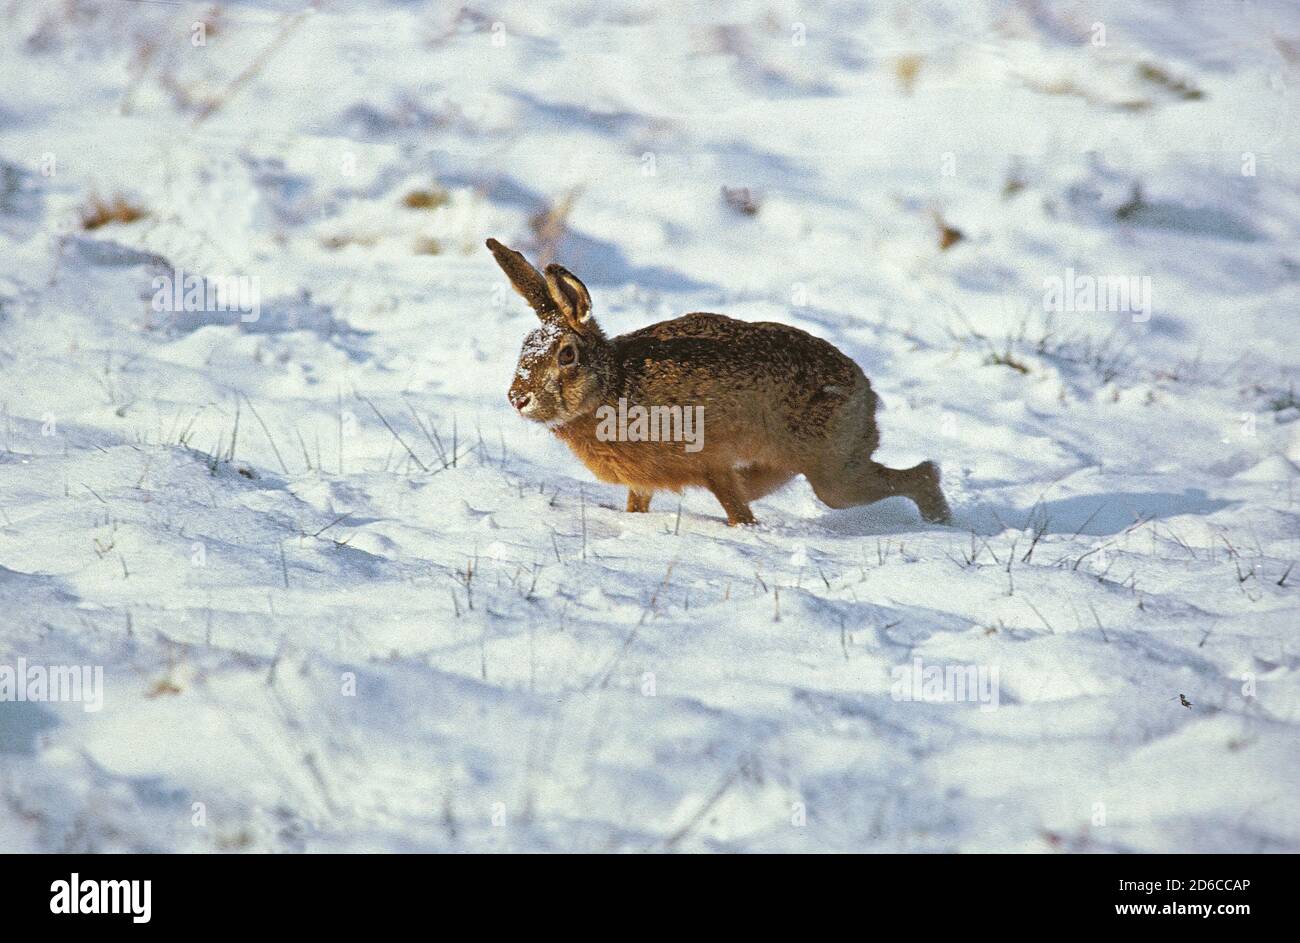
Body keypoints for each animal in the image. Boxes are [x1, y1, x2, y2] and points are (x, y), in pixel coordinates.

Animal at [489, 238, 951, 527]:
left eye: (566, 355)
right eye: (525, 346)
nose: (517, 398)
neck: (612, 386)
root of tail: (865, 392)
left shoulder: (712, 462)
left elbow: (734, 509)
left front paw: (743, 529)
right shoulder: (644, 482)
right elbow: (637, 506)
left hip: (833, 473)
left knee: (911, 476)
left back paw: (939, 518)